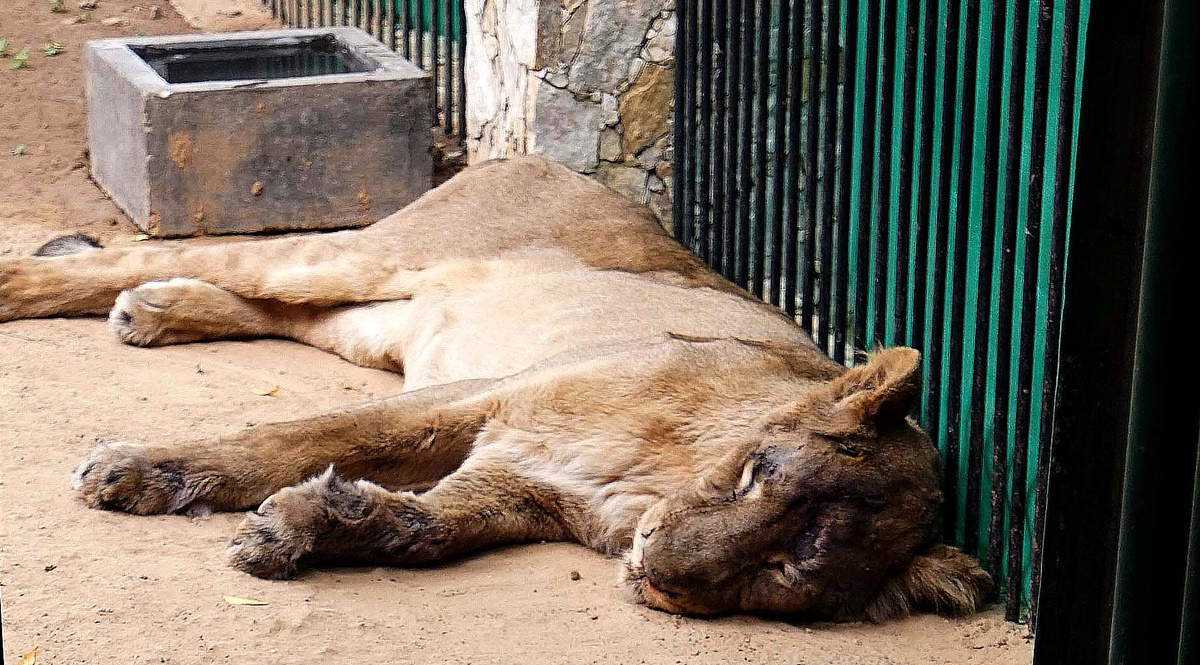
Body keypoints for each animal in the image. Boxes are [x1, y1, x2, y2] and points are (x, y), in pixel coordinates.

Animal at [0, 156, 991, 621]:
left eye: (785, 568)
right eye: (759, 475)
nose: (653, 566)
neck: (650, 488)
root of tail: (540, 159)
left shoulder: (515, 486)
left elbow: (416, 529)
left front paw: (305, 524)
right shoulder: (484, 397)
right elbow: (296, 437)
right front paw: (136, 470)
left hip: (379, 324)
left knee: (261, 304)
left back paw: (155, 311)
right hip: (367, 255)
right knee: (181, 256)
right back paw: (38, 284)